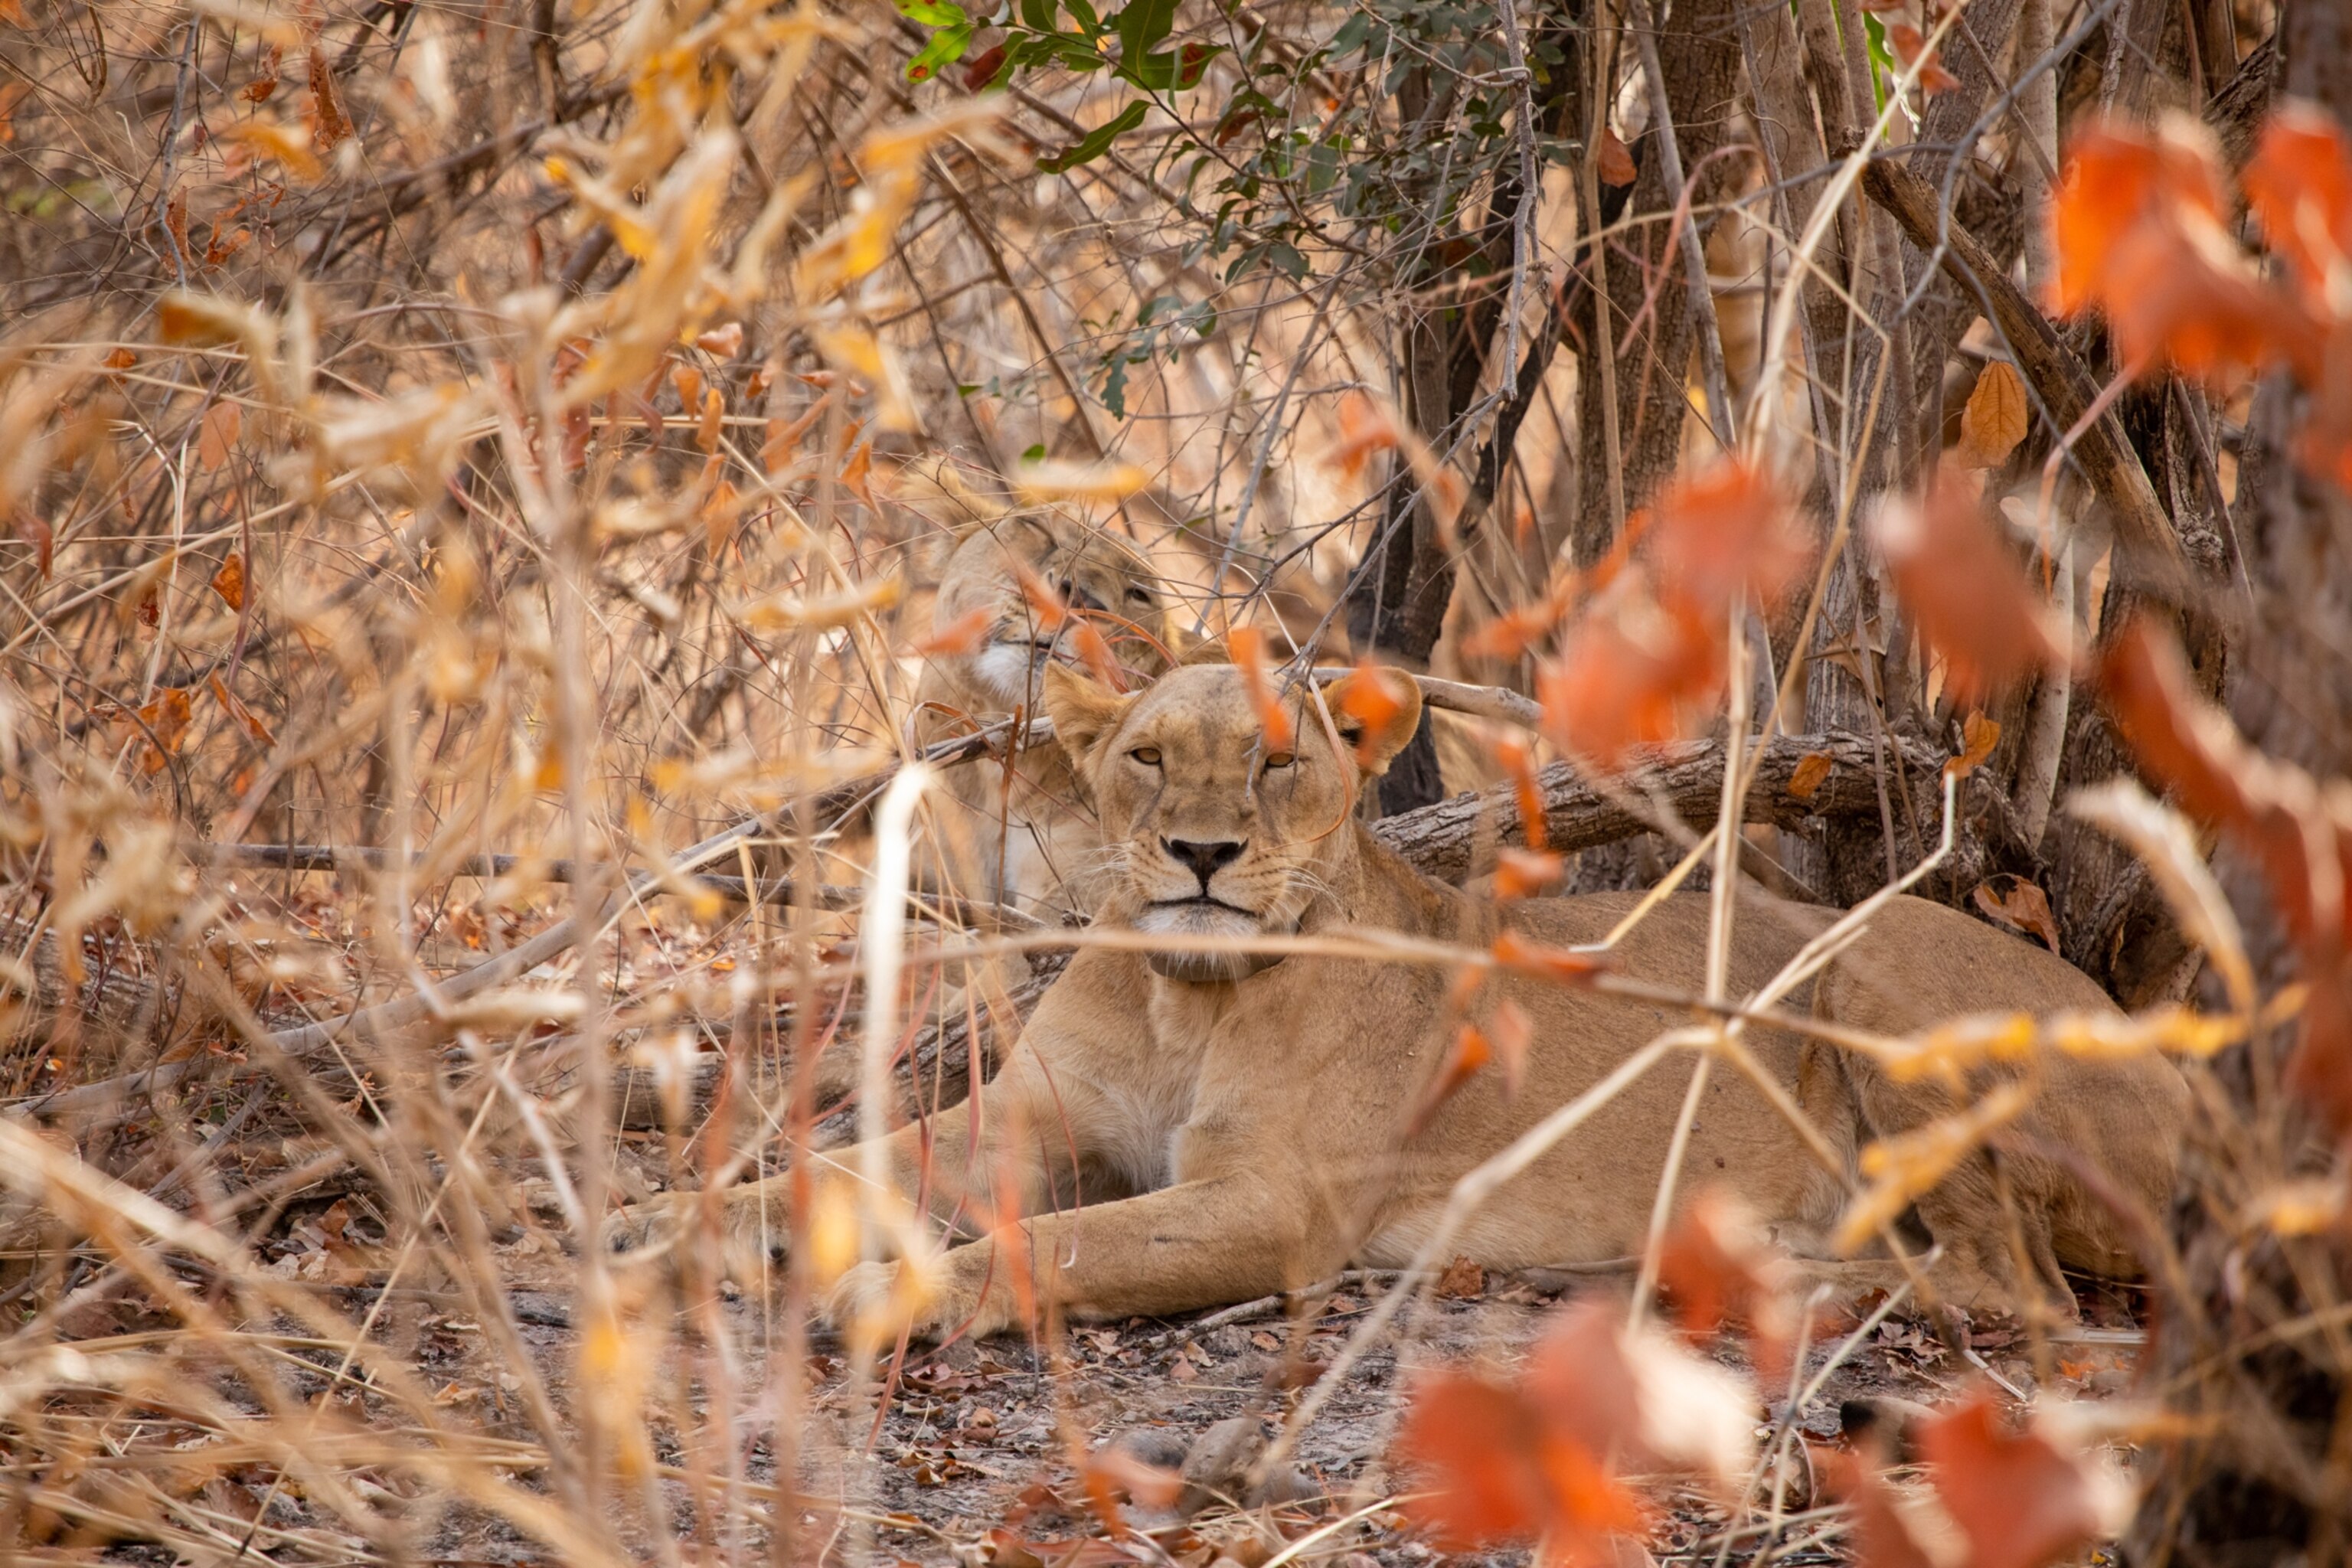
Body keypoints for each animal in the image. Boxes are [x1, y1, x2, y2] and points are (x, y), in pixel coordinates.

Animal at [623, 662, 2191, 1339]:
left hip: (1860, 961)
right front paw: (656, 1229)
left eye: (1275, 761)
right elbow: (833, 1169)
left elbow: (1064, 1245)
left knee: (2009, 1286)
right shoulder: (1027, 1119)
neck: (1184, 997)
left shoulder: (1271, 1206)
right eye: (1147, 757)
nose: (1203, 854)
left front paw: (885, 1295)